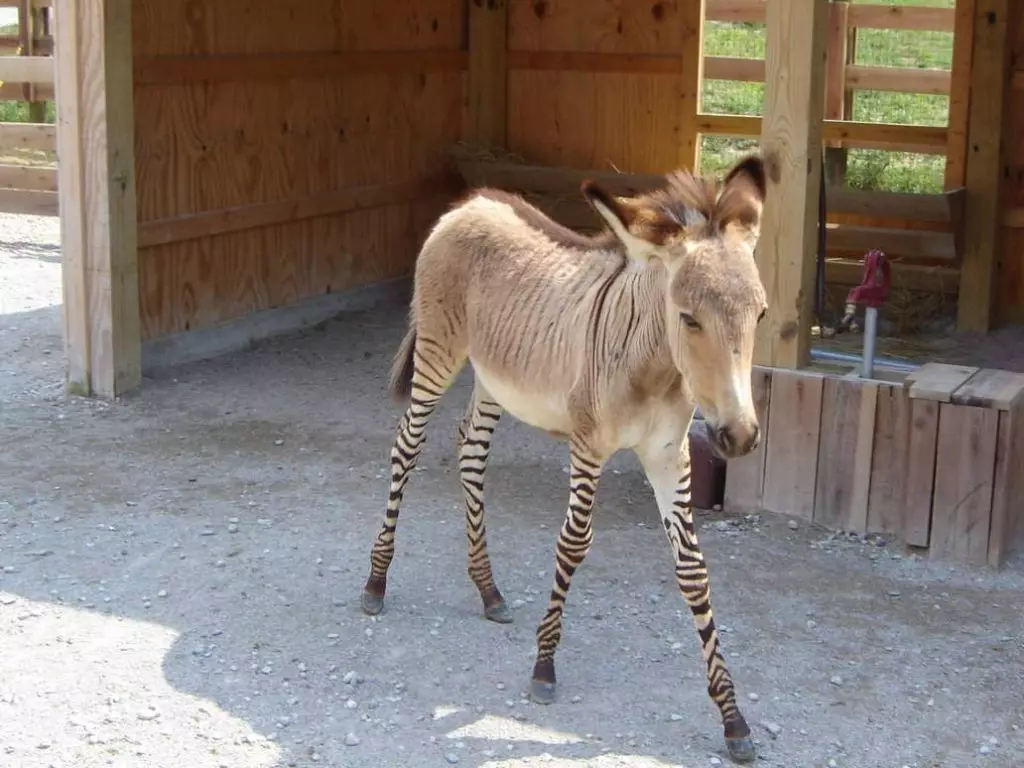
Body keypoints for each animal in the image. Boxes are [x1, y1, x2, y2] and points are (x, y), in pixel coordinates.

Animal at [360, 154, 770, 765]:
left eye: (761, 315)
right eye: (689, 318)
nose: (740, 437)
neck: (653, 365)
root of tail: (471, 203)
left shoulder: (668, 456)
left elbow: (693, 569)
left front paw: (732, 718)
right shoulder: (588, 446)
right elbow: (574, 544)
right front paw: (544, 665)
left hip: (495, 377)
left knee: (470, 448)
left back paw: (488, 589)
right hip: (438, 352)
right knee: (405, 448)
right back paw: (376, 583)